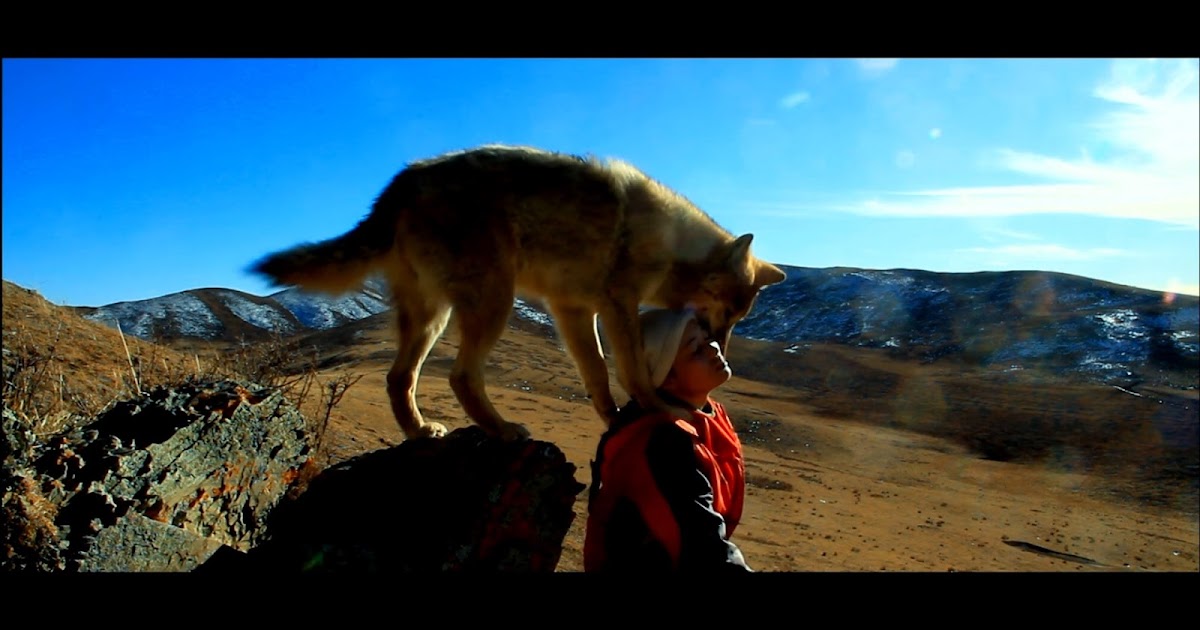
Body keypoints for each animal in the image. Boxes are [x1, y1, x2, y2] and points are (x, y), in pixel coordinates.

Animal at [251, 144, 786, 442]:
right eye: (728, 314)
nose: (720, 348)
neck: (671, 243)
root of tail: (405, 179)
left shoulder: (574, 310)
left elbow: (596, 376)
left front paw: (613, 420)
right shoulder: (617, 306)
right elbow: (634, 374)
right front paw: (663, 411)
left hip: (433, 318)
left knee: (399, 378)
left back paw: (421, 432)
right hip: (493, 305)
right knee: (461, 377)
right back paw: (503, 430)